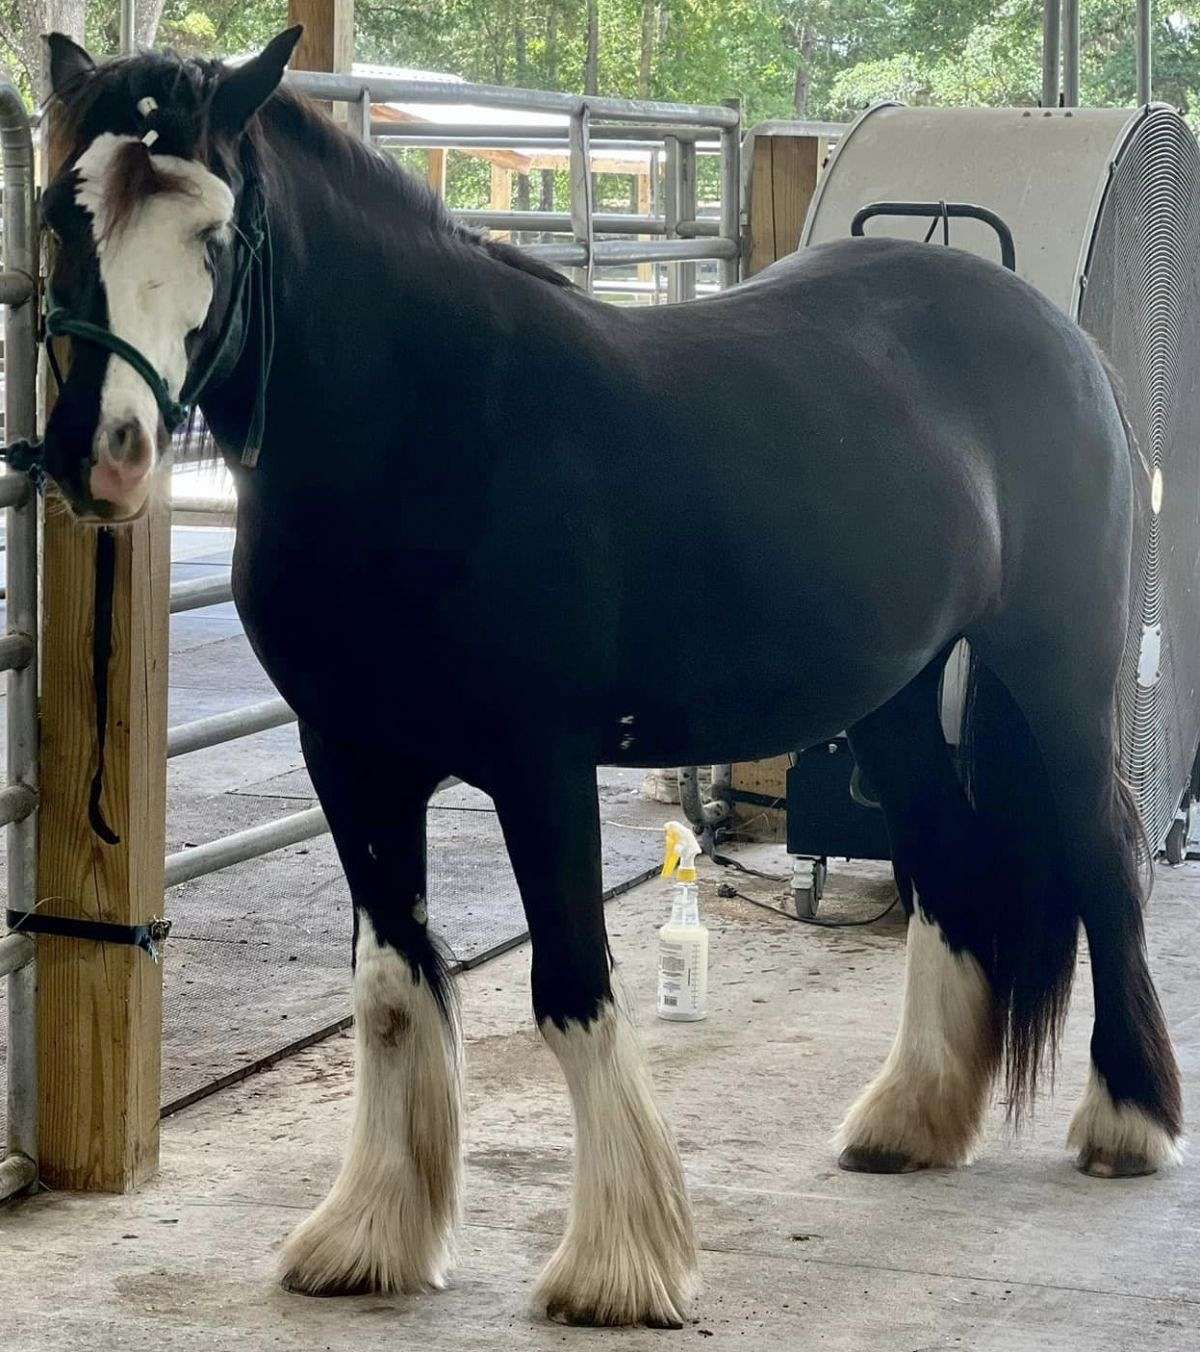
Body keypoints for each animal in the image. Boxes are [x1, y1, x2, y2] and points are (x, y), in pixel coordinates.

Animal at [35, 28, 1183, 1329]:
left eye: (215, 230)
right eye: (62, 213)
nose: (103, 456)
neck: (426, 427)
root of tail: (1056, 333)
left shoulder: (541, 764)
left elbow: (573, 985)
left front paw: (617, 1260)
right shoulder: (354, 761)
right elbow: (391, 988)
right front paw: (370, 1236)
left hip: (1058, 659)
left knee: (1104, 847)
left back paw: (1127, 1119)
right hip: (897, 686)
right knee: (945, 853)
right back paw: (912, 1116)